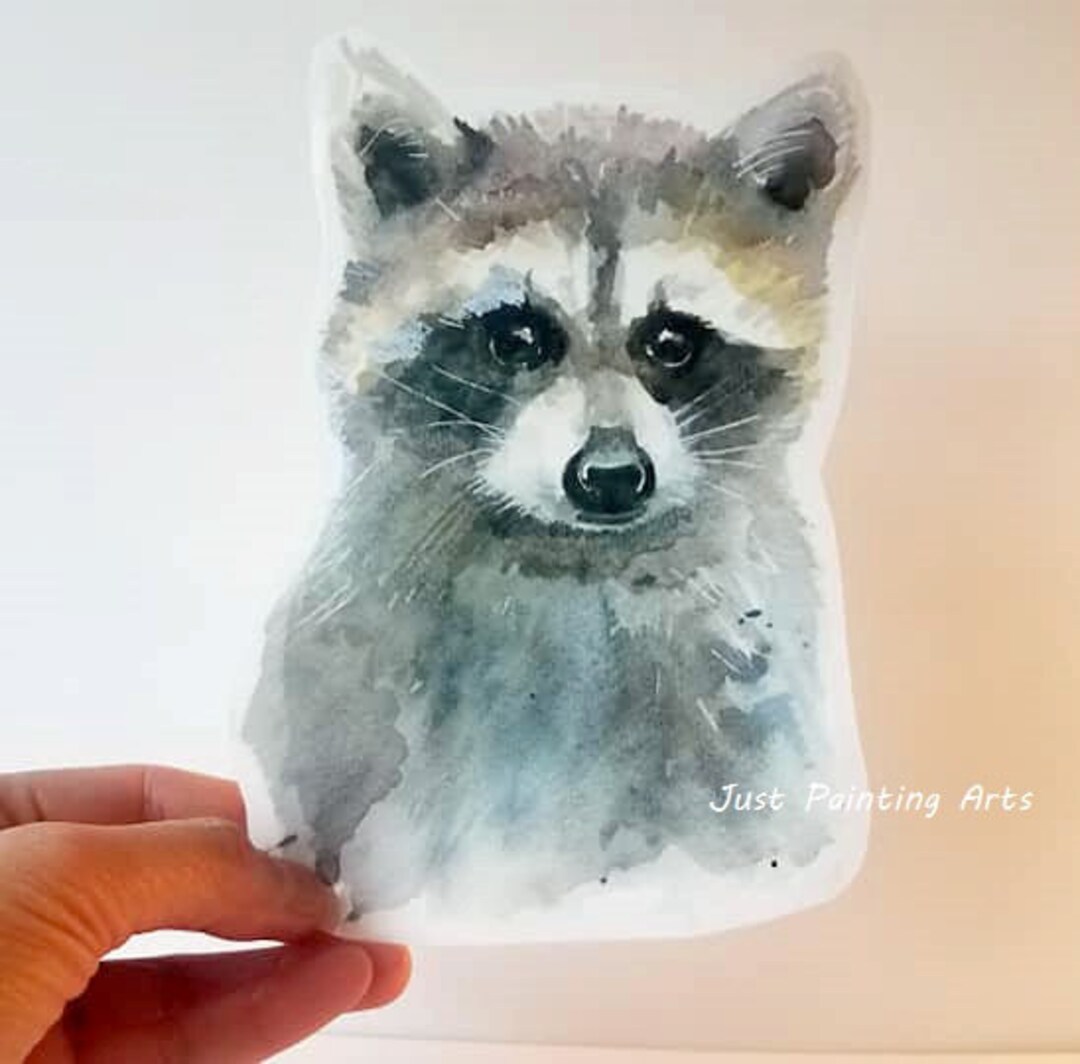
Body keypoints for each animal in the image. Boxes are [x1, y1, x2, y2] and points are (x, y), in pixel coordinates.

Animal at [241, 40, 868, 941]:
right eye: (517, 338)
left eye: (672, 343)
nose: (609, 478)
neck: (573, 561)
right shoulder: (349, 694)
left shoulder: (745, 731)